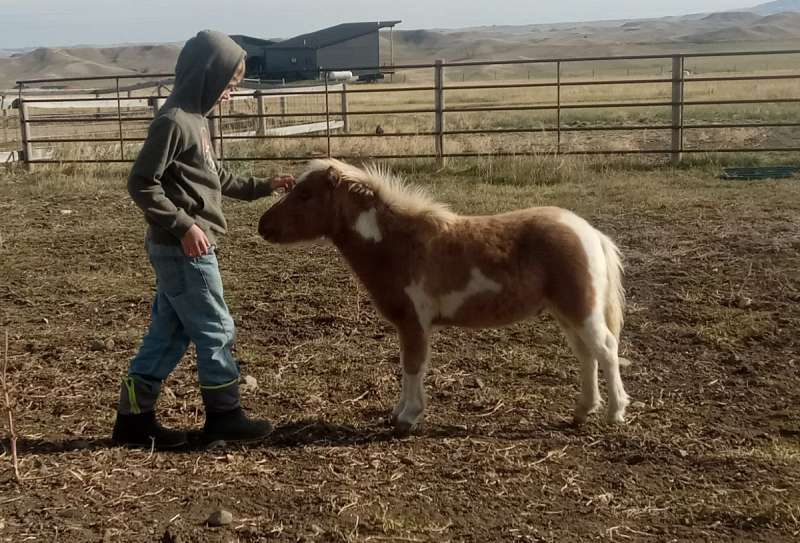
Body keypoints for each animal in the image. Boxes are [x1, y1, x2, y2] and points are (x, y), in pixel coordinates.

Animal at [258, 159, 630, 435]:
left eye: (305, 194)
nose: (263, 226)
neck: (398, 244)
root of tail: (589, 232)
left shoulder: (414, 323)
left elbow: (413, 366)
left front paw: (407, 418)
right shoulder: (409, 326)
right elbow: (407, 366)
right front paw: (397, 413)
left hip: (581, 311)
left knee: (606, 350)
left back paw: (615, 413)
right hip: (567, 314)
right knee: (587, 355)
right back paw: (582, 411)